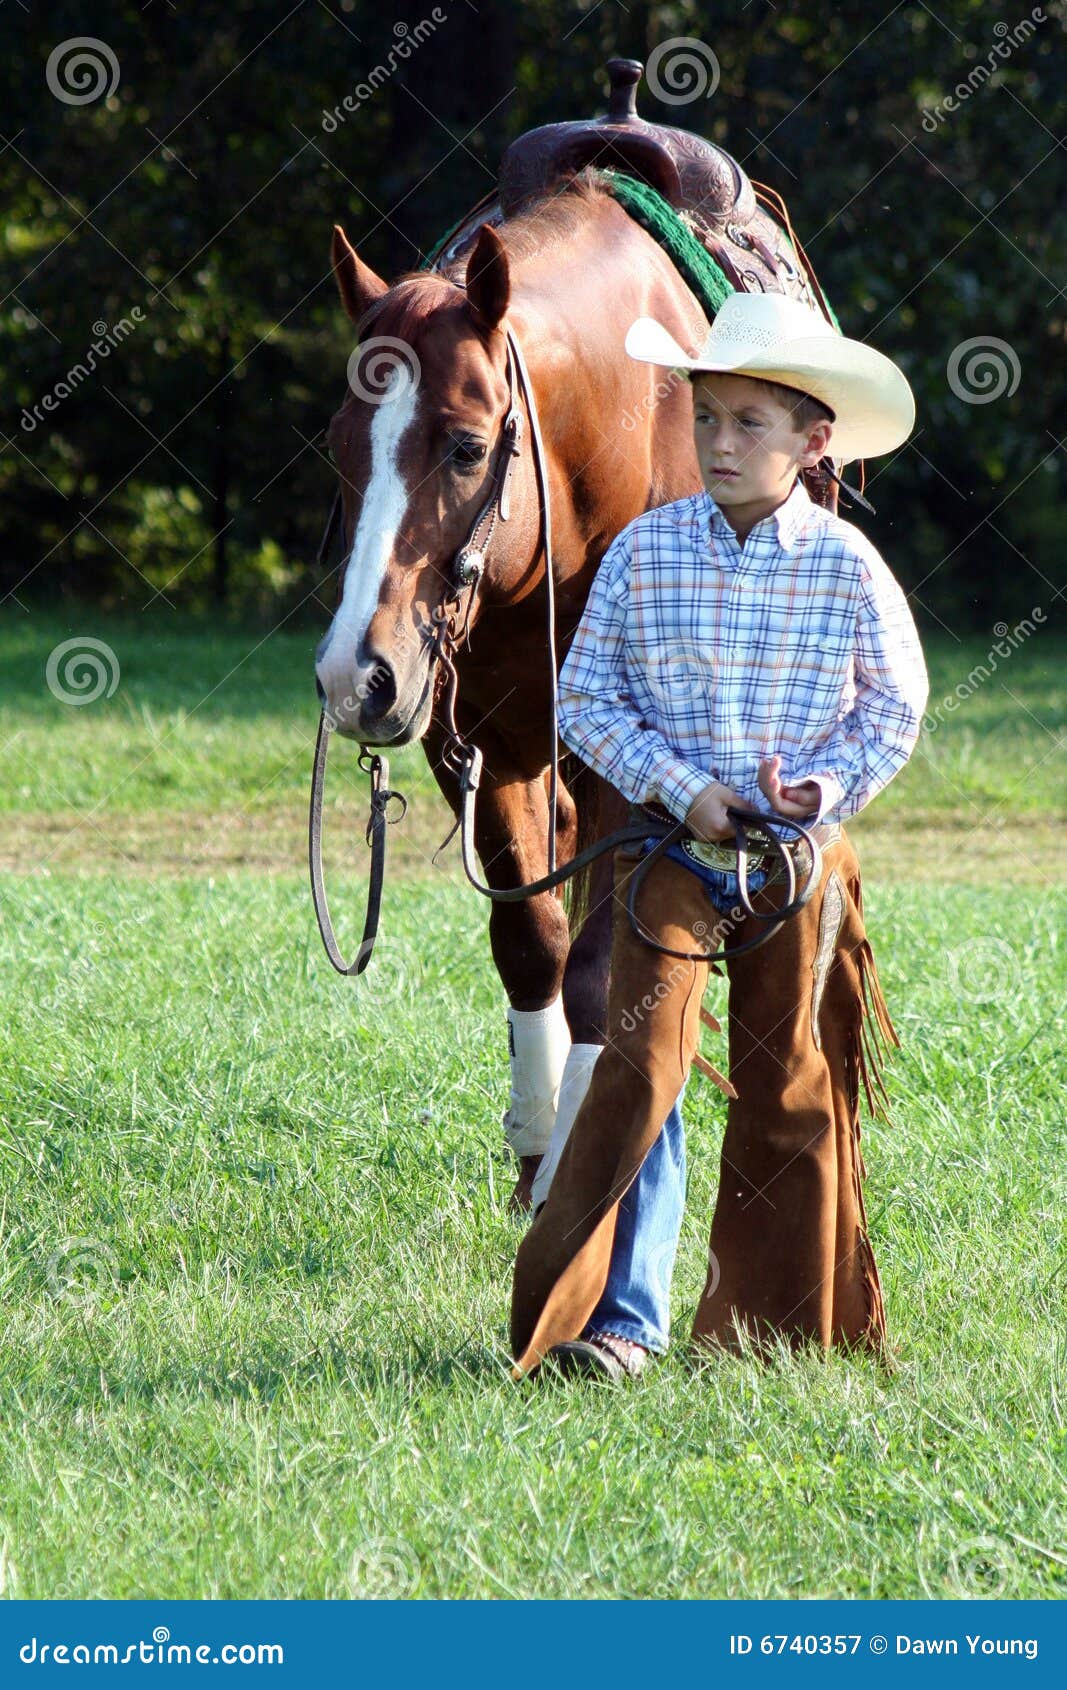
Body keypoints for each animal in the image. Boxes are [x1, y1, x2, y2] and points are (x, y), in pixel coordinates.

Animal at [314, 173, 709, 1208]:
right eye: (337, 447)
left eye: (463, 448)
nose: (354, 675)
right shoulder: (479, 746)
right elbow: (533, 940)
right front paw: (539, 1145)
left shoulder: (642, 765)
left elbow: (603, 965)